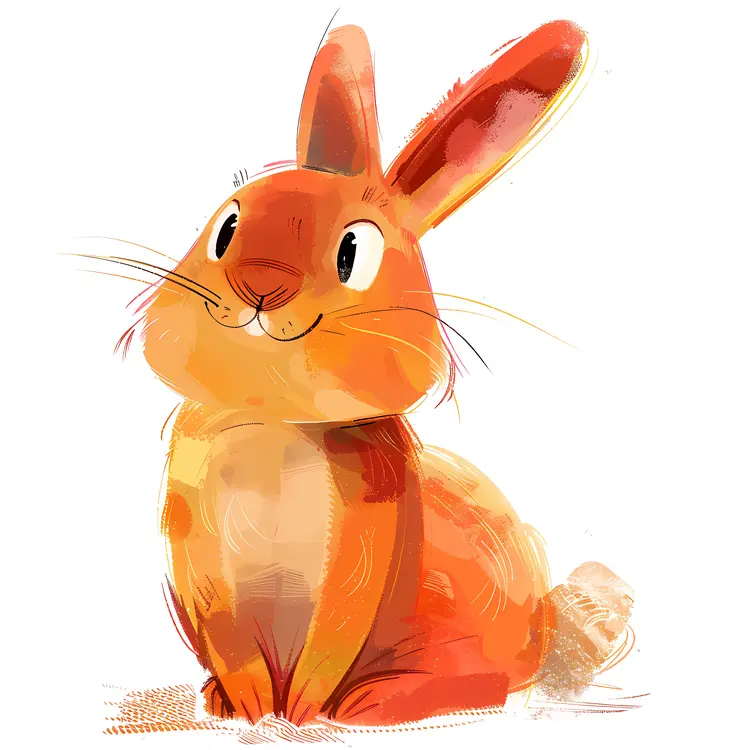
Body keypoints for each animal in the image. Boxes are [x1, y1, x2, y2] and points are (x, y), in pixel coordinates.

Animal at [98, 20, 634, 727]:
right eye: (227, 226)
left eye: (354, 251)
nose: (261, 286)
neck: (278, 421)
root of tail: (547, 629)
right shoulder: (197, 554)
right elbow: (232, 646)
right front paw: (249, 707)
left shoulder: (364, 551)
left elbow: (334, 639)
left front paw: (301, 713)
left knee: (485, 686)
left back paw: (375, 701)